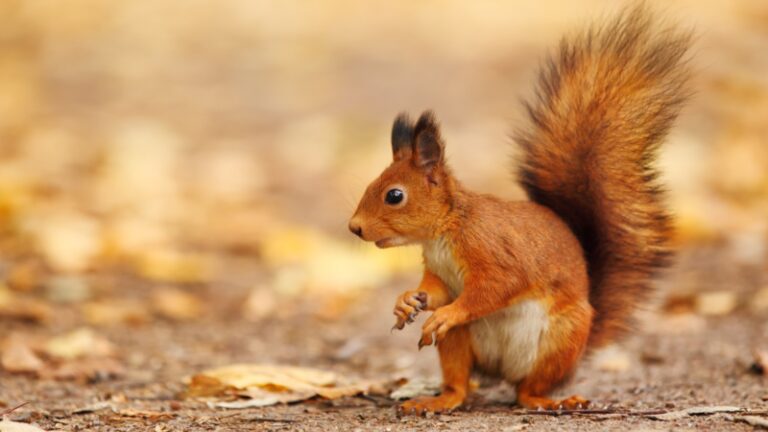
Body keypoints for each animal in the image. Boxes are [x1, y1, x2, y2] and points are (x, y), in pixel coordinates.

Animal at [348, 4, 691, 413]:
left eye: (394, 195)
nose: (354, 227)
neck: (447, 230)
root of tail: (500, 371)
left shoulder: (494, 251)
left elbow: (494, 288)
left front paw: (445, 312)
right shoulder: (439, 271)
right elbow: (436, 291)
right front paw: (406, 303)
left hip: (559, 341)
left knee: (528, 390)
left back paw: (552, 400)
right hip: (460, 343)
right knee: (461, 385)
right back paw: (437, 400)